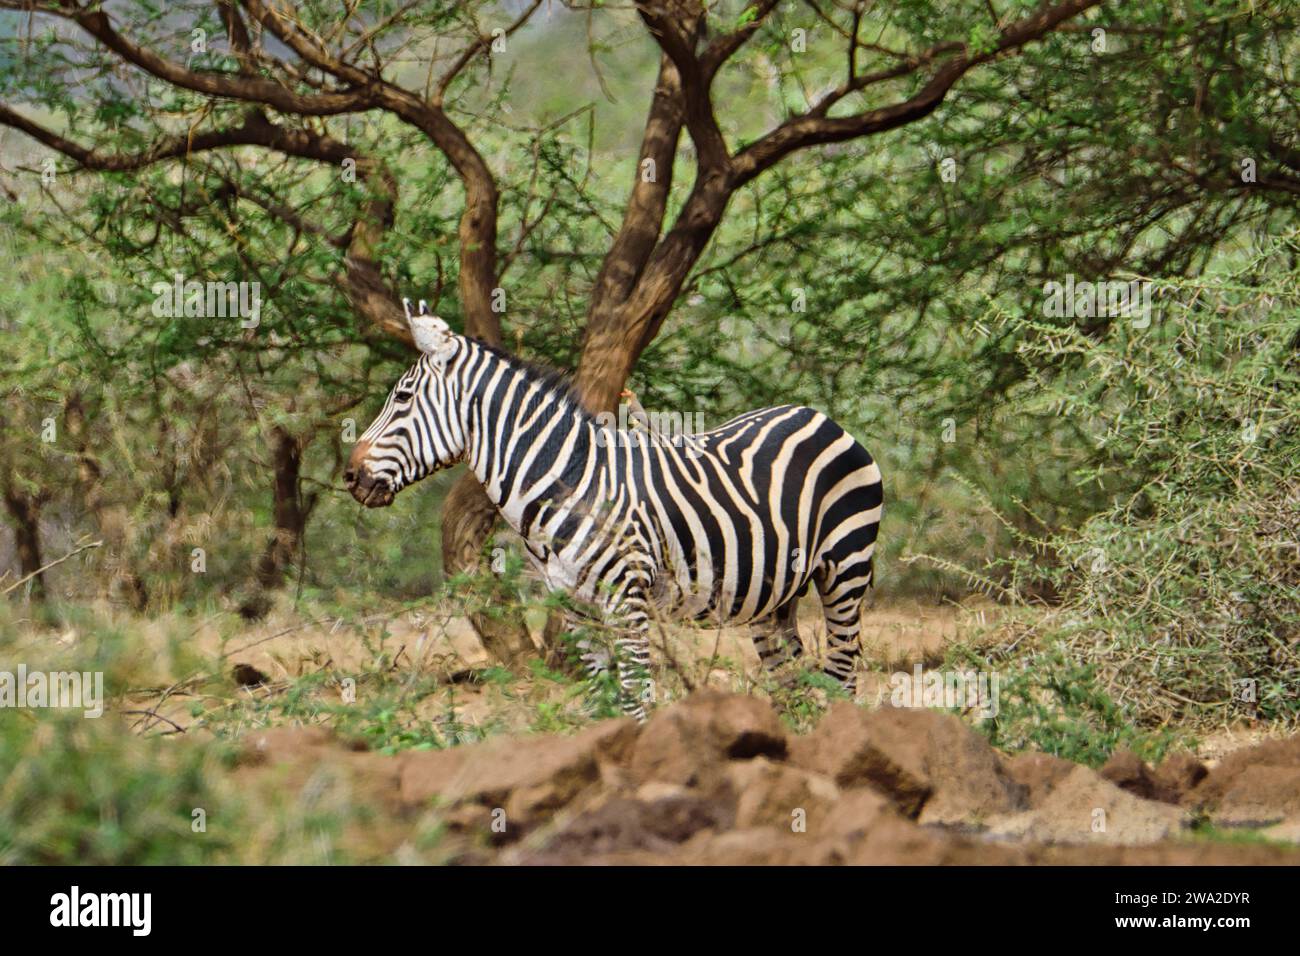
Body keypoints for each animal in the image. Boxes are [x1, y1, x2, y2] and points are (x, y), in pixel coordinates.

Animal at [345, 301, 883, 719]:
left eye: (402, 398)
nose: (349, 476)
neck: (568, 479)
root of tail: (818, 415)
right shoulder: (576, 610)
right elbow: (605, 702)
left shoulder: (629, 603)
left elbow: (633, 701)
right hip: (775, 598)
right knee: (793, 680)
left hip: (845, 571)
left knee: (842, 673)